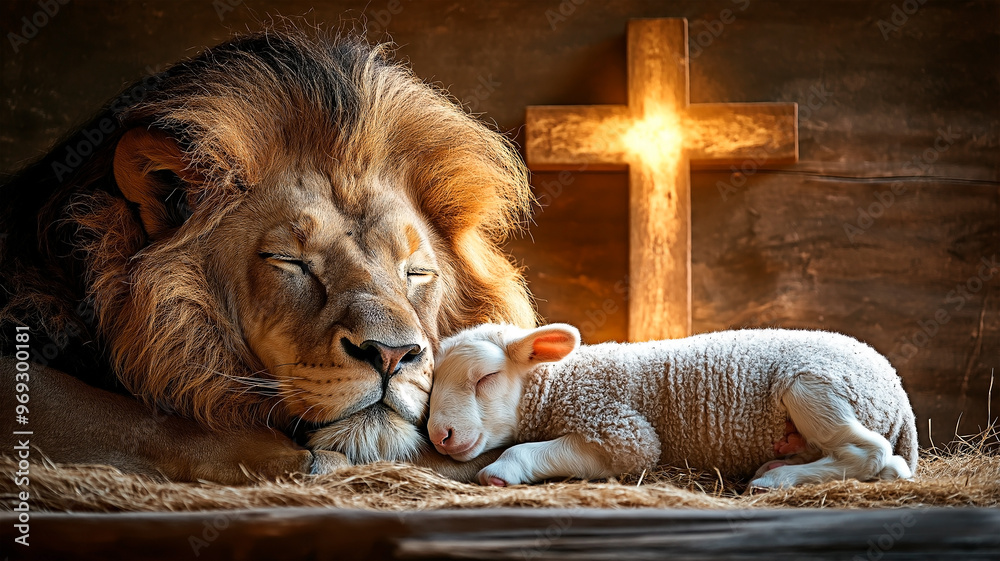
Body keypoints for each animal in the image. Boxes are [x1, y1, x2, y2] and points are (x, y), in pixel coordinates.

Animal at [427, 323, 917, 490]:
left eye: (485, 378)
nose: (440, 435)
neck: (561, 383)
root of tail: (896, 391)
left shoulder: (621, 432)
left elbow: (526, 449)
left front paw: (502, 471)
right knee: (885, 464)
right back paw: (782, 461)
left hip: (817, 386)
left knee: (871, 453)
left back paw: (776, 480)